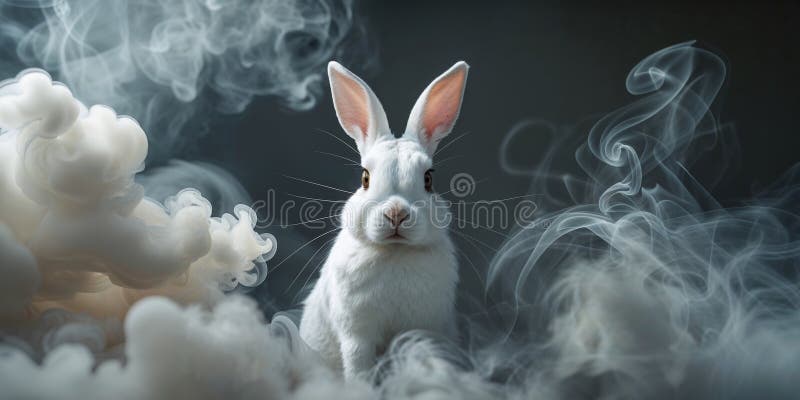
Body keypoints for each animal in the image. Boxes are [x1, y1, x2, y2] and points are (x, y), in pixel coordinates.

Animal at [299, 60, 469, 380]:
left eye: (428, 179)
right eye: (364, 178)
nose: (396, 213)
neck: (395, 252)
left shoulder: (426, 330)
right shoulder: (357, 336)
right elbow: (358, 369)